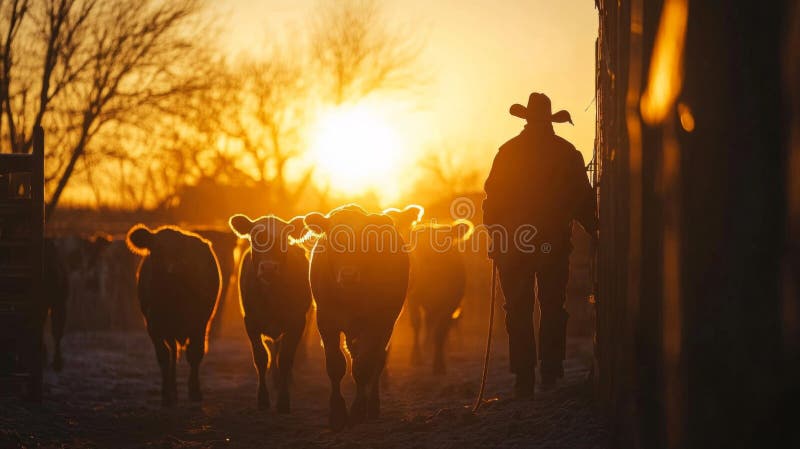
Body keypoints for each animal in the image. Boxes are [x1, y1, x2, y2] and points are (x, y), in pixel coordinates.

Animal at [126, 224, 221, 406]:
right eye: (156, 249)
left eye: (179, 251)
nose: (170, 270)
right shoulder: (153, 326)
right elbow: (163, 357)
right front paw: (167, 396)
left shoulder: (198, 324)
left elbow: (195, 354)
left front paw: (195, 392)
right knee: (173, 354)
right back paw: (173, 391)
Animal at [228, 214, 313, 412]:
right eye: (255, 238)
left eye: (283, 240)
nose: (268, 268)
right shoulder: (251, 321)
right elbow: (261, 357)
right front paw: (263, 399)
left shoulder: (296, 322)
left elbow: (286, 358)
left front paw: (283, 401)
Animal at [304, 204, 420, 430]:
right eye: (334, 239)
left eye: (365, 241)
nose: (348, 275)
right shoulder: (326, 321)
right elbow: (336, 365)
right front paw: (337, 413)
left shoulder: (376, 324)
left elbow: (364, 366)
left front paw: (358, 410)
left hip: (386, 326)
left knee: (377, 360)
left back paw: (372, 405)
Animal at [385, 209, 475, 374]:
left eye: (444, 241)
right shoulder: (413, 299)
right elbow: (417, 324)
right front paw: (417, 358)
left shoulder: (452, 301)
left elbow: (440, 331)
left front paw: (439, 364)